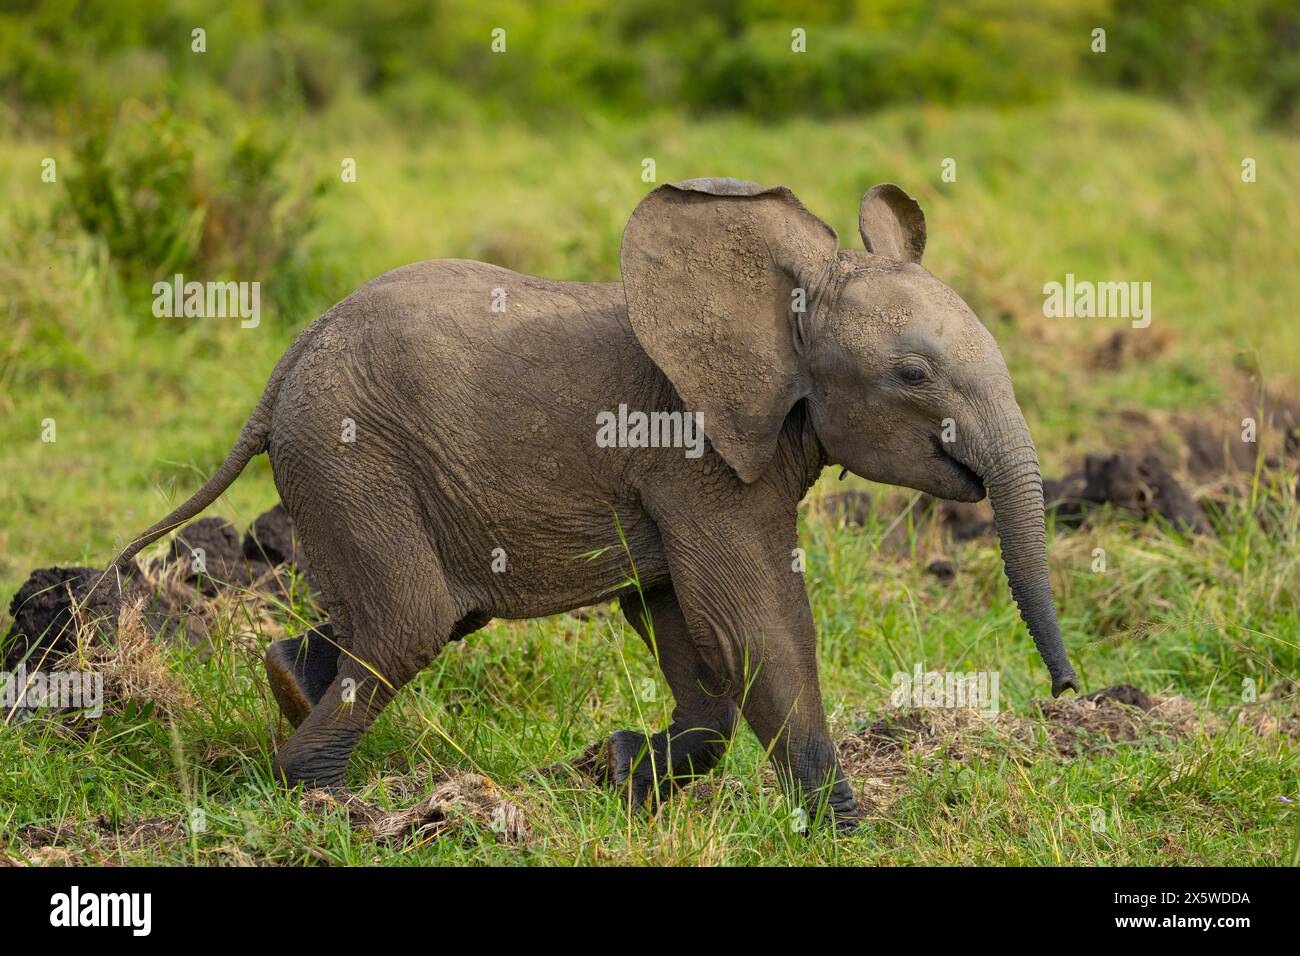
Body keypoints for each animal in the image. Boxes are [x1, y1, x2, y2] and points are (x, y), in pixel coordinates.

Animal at [108, 178, 1080, 831]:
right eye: (912, 375)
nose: (1067, 692)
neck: (780, 313)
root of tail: (282, 369)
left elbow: (679, 620)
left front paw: (620, 771)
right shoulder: (696, 459)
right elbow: (754, 620)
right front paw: (842, 830)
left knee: (418, 616)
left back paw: (288, 683)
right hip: (352, 452)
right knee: (412, 620)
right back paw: (329, 799)